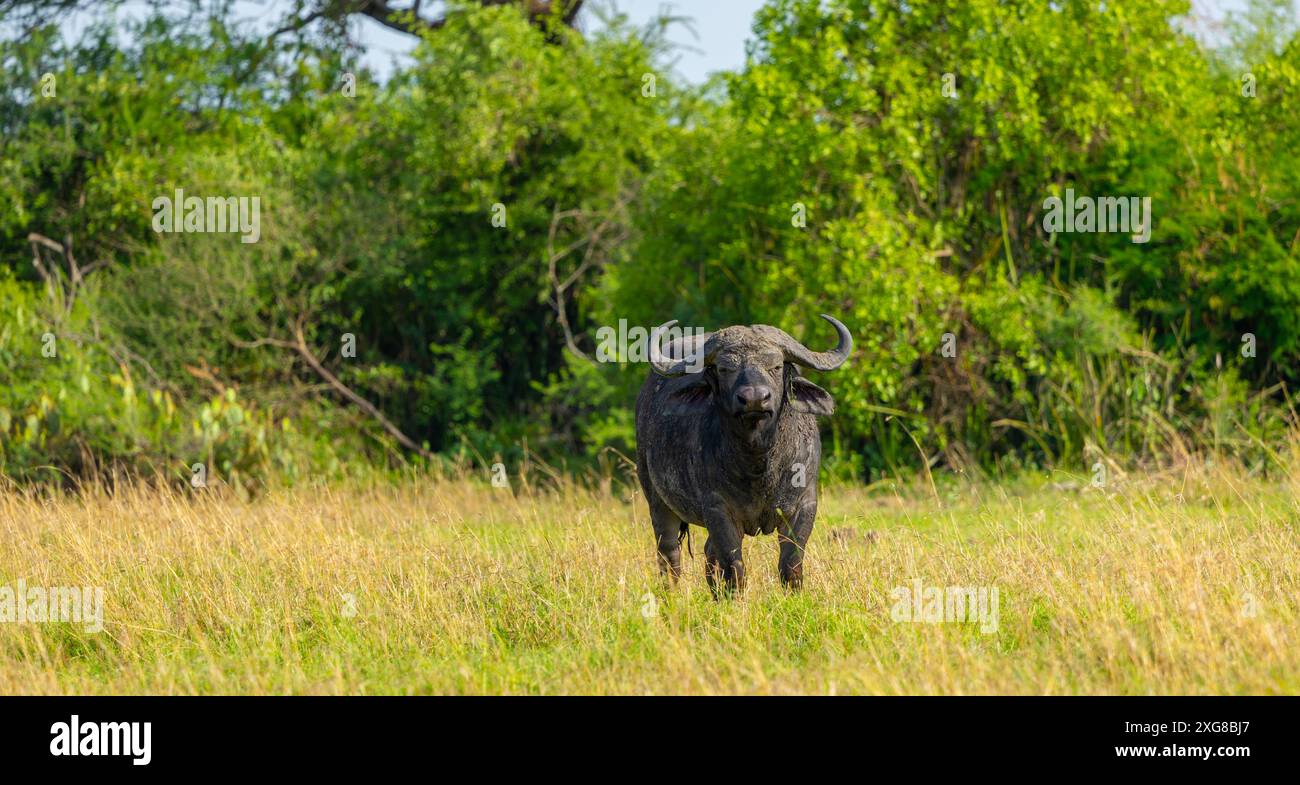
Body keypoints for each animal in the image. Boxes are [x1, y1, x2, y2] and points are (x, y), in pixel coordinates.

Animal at [634, 315, 852, 595]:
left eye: (776, 366)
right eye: (725, 369)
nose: (754, 399)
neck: (759, 464)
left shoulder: (803, 504)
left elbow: (791, 562)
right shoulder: (718, 509)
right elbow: (734, 565)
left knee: (708, 552)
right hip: (657, 500)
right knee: (669, 556)